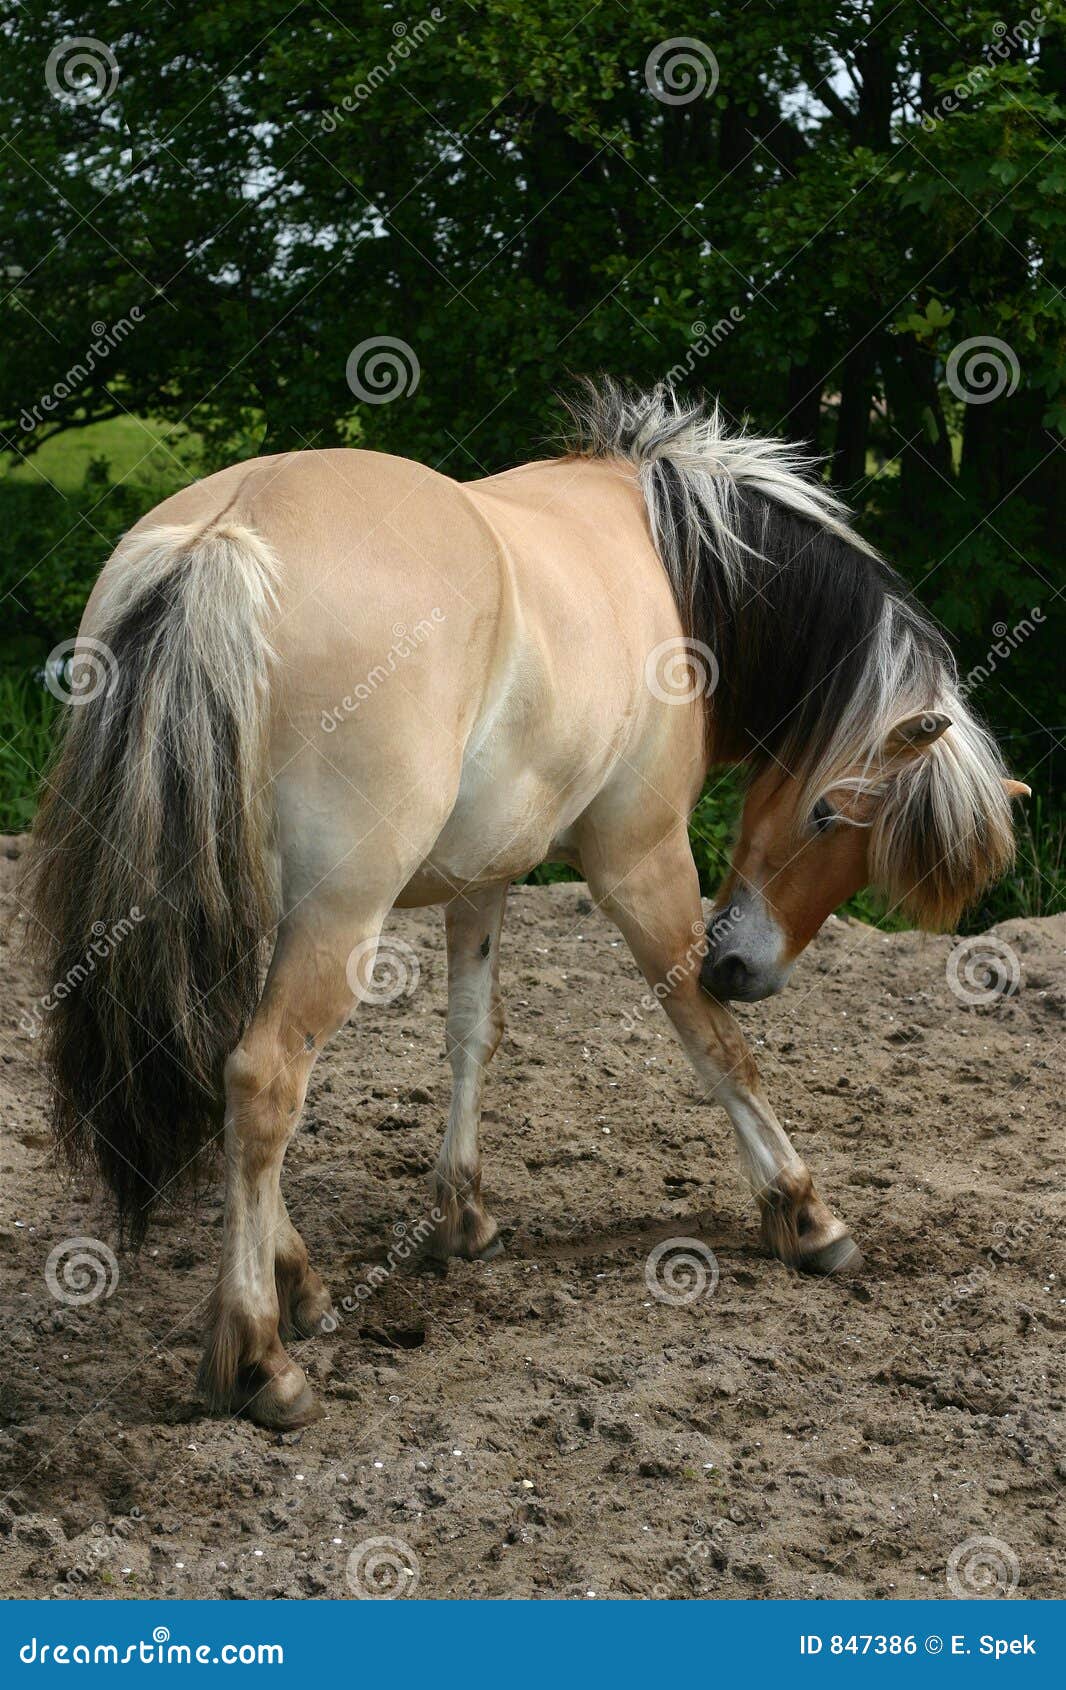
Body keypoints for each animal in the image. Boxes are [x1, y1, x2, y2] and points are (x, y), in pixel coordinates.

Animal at [24, 381, 1027, 1429]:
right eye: (830, 812)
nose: (747, 966)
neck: (671, 558)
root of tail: (226, 533)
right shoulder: (640, 865)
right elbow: (714, 1041)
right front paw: (805, 1212)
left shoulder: (484, 878)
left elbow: (473, 1033)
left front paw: (462, 1214)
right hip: (337, 918)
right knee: (263, 1081)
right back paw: (260, 1358)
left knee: (233, 1072)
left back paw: (298, 1285)